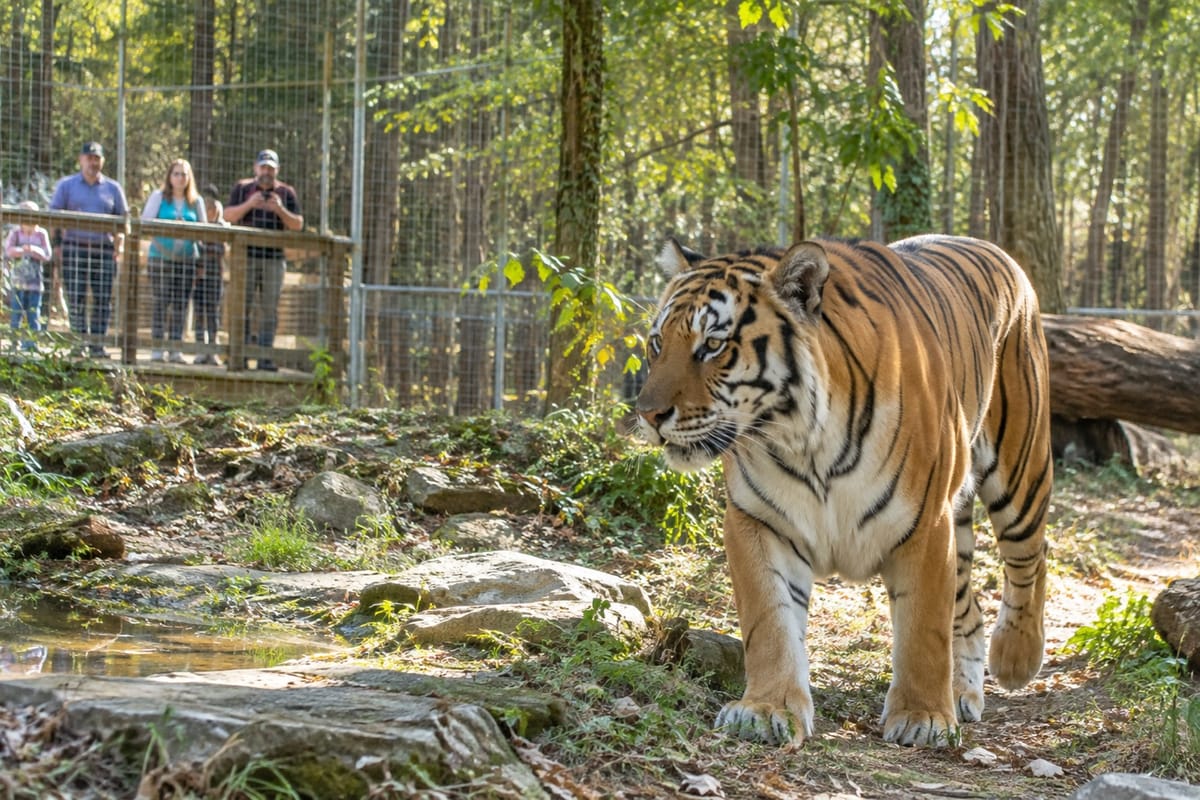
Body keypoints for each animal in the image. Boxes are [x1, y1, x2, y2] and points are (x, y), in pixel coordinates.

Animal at [636, 235, 1052, 747]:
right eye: (657, 343)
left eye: (713, 345)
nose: (648, 414)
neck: (803, 441)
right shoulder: (759, 521)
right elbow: (769, 621)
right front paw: (766, 709)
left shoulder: (926, 525)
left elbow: (923, 630)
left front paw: (923, 718)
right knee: (968, 609)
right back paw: (961, 692)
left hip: (1019, 468)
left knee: (1030, 556)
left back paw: (1016, 658)